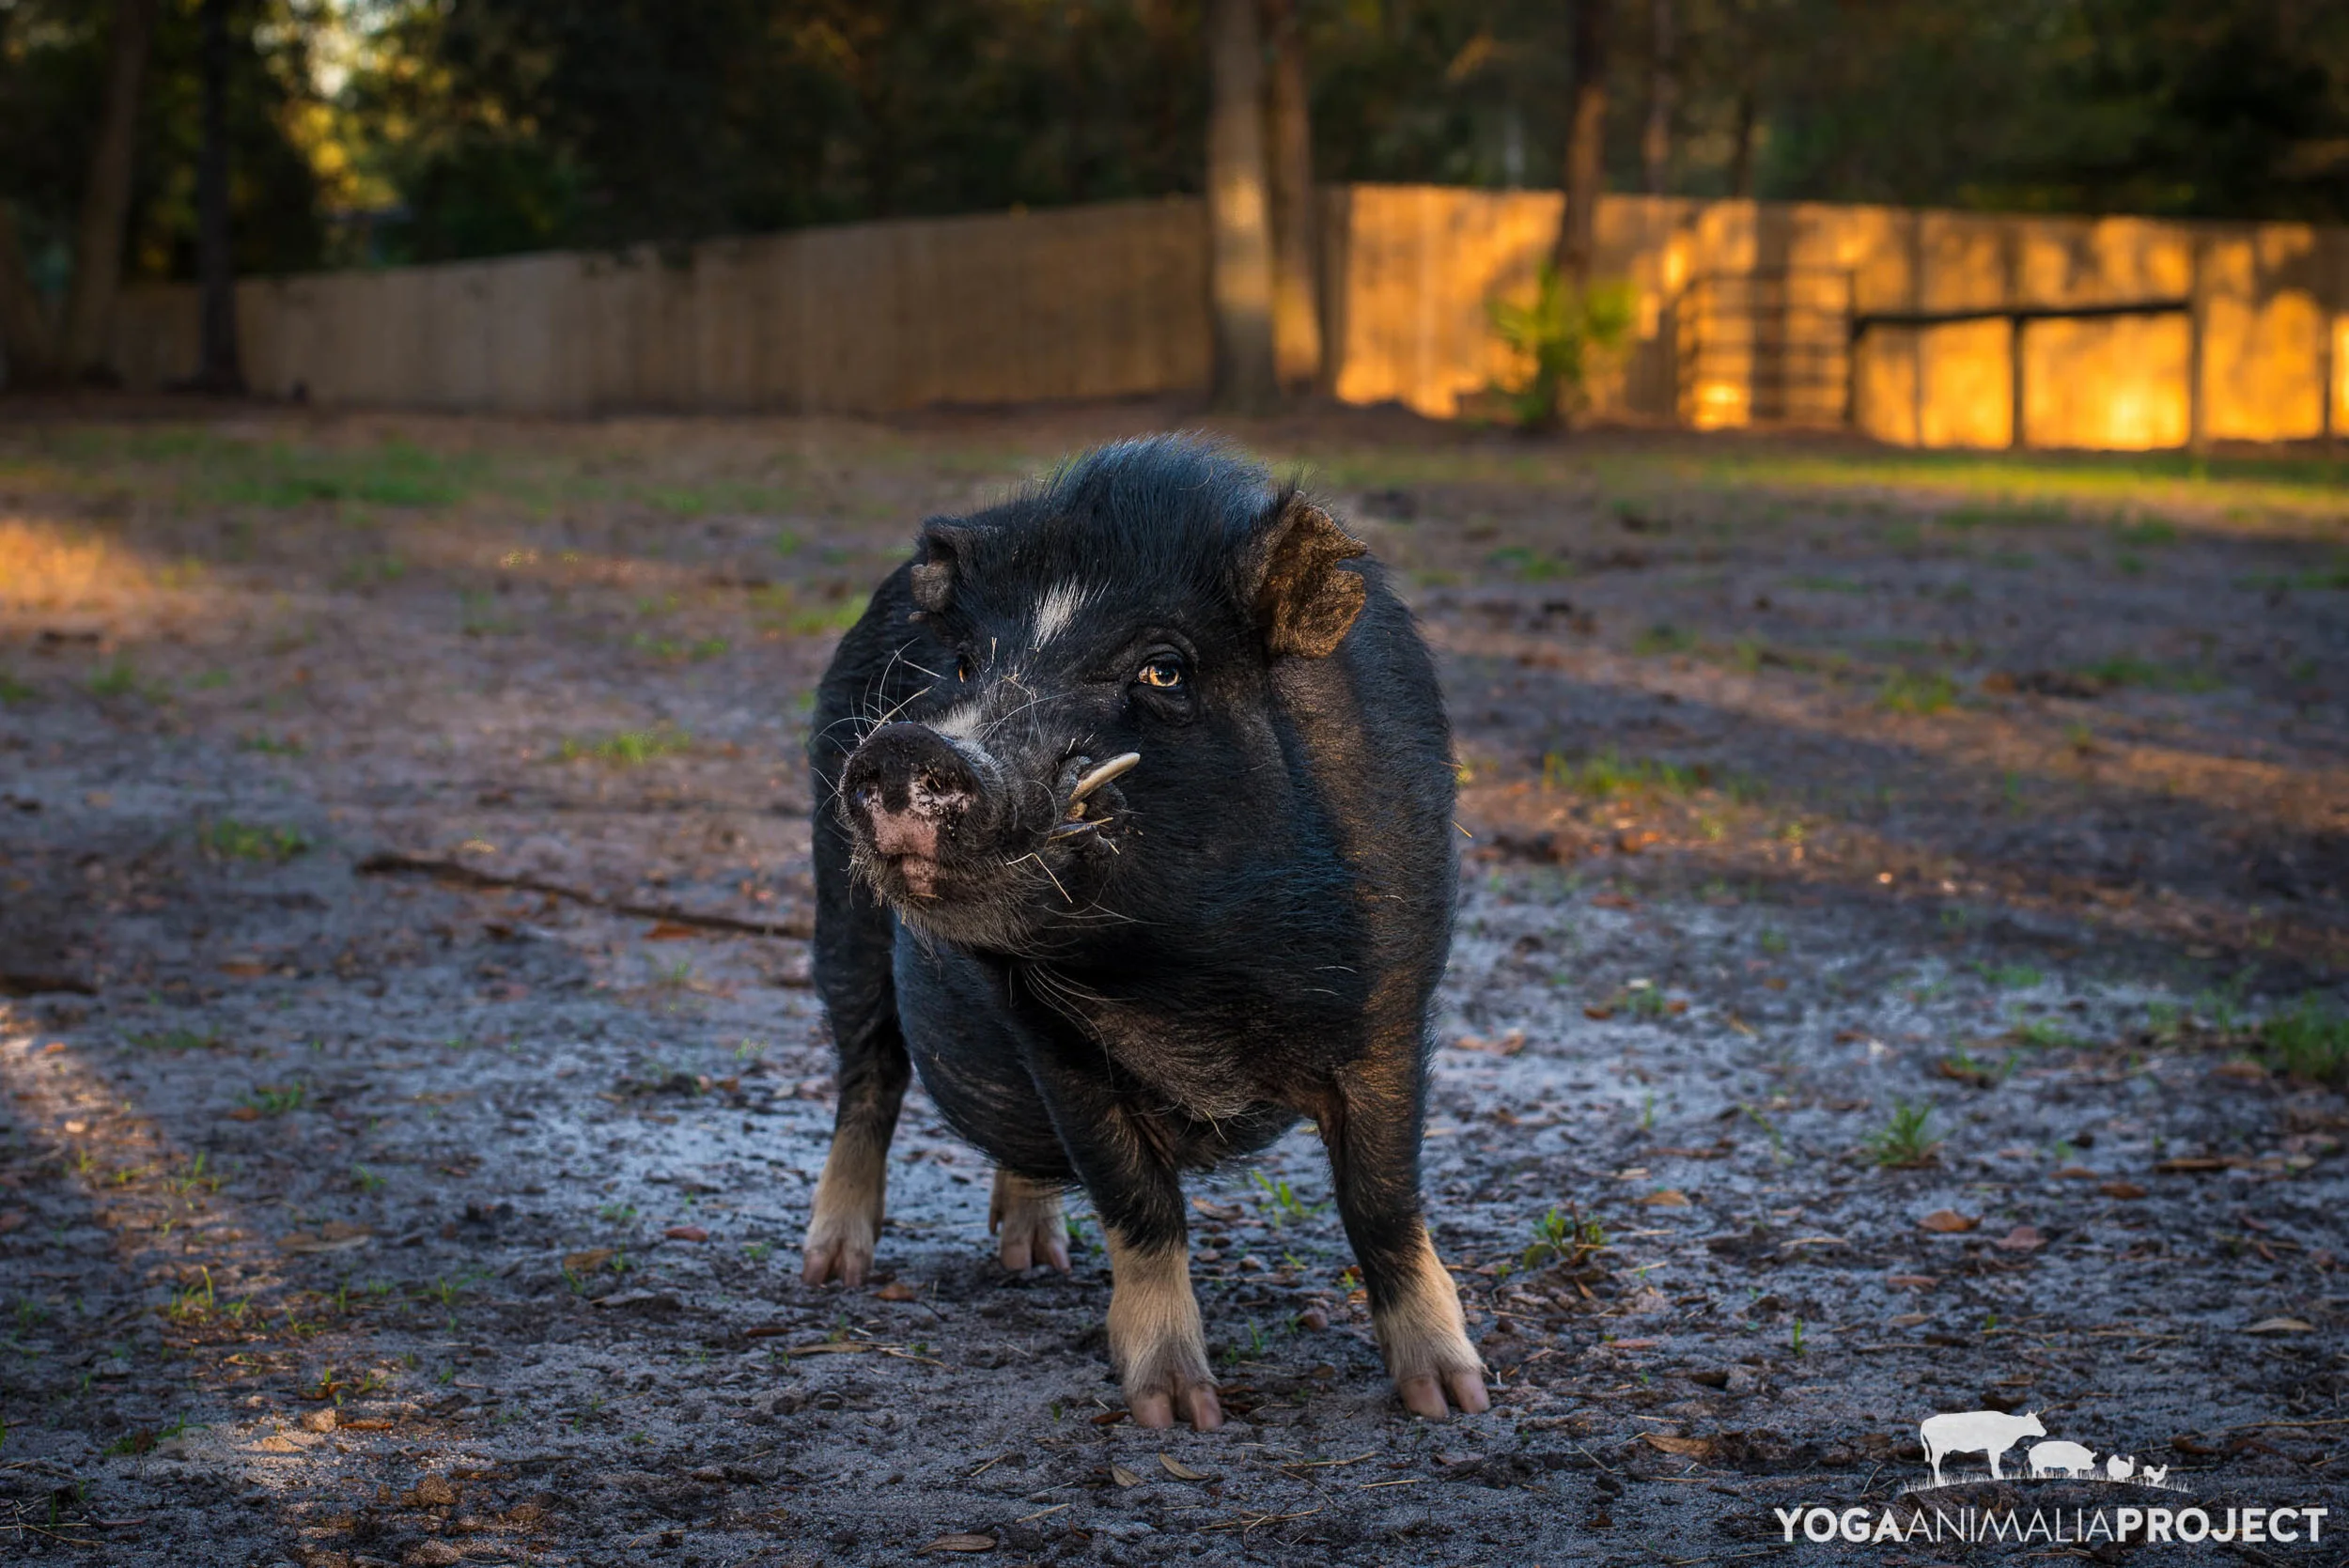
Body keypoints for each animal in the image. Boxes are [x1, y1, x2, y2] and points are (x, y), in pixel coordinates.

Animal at [798, 435, 1486, 1428]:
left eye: (1164, 670)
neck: (1185, 974)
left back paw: (1032, 1258)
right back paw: (831, 1273)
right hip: (838, 911)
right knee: (869, 1069)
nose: (911, 747)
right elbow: (1139, 1203)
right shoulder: (1052, 1041)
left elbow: (1384, 1199)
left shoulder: (1394, 1005)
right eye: (964, 665)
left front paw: (1453, 1399)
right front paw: (1179, 1410)